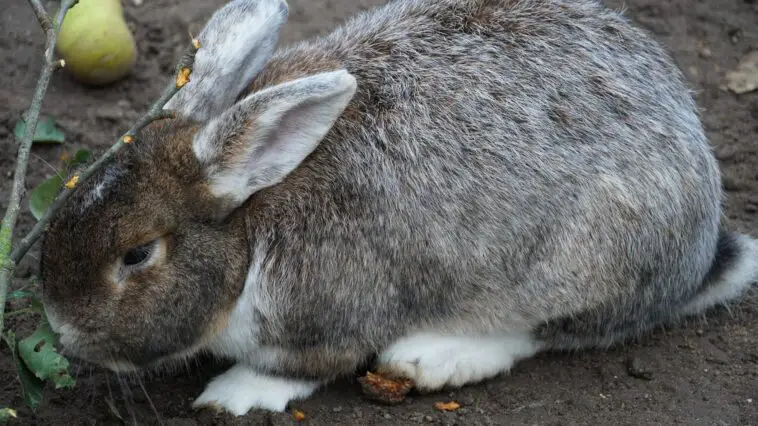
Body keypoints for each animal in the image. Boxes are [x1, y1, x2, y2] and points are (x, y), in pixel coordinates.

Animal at [39, 0, 758, 416]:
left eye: (137, 254)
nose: (63, 331)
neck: (250, 224)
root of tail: (699, 256)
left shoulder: (329, 319)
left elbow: (299, 367)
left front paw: (233, 395)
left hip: (585, 261)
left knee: (545, 332)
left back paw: (431, 358)